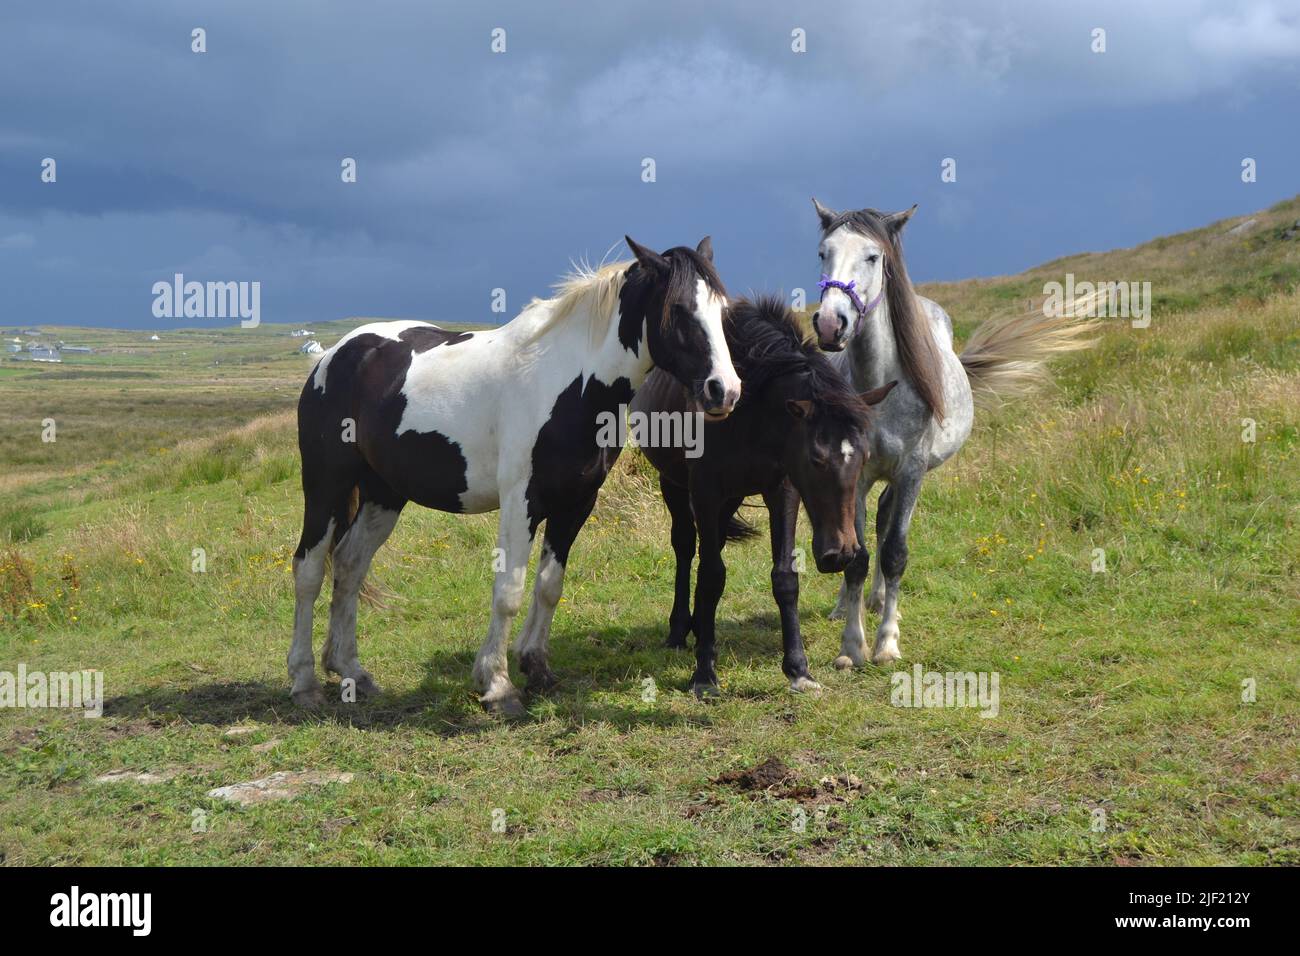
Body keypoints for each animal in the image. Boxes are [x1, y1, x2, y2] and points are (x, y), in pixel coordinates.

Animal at [289, 236, 742, 715]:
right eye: (679, 311)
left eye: (722, 311)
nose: (725, 391)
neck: (570, 384)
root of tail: (335, 355)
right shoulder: (521, 502)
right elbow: (509, 591)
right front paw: (498, 685)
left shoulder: (576, 503)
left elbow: (549, 587)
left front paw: (536, 667)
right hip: (326, 484)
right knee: (310, 569)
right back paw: (304, 682)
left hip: (384, 494)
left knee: (350, 566)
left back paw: (351, 671)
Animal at [632, 295, 896, 697]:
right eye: (816, 458)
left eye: (864, 456)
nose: (842, 553)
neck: (748, 411)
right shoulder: (705, 491)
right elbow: (711, 575)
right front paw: (704, 674)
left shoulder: (781, 491)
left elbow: (784, 577)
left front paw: (799, 669)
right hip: (673, 485)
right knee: (685, 547)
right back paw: (680, 629)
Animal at [809, 199, 1097, 668]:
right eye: (823, 252)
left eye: (873, 257)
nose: (832, 324)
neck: (882, 386)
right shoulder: (860, 473)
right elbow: (857, 556)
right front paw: (851, 646)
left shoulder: (911, 471)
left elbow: (895, 553)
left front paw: (886, 643)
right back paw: (847, 605)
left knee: (888, 524)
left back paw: (883, 601)